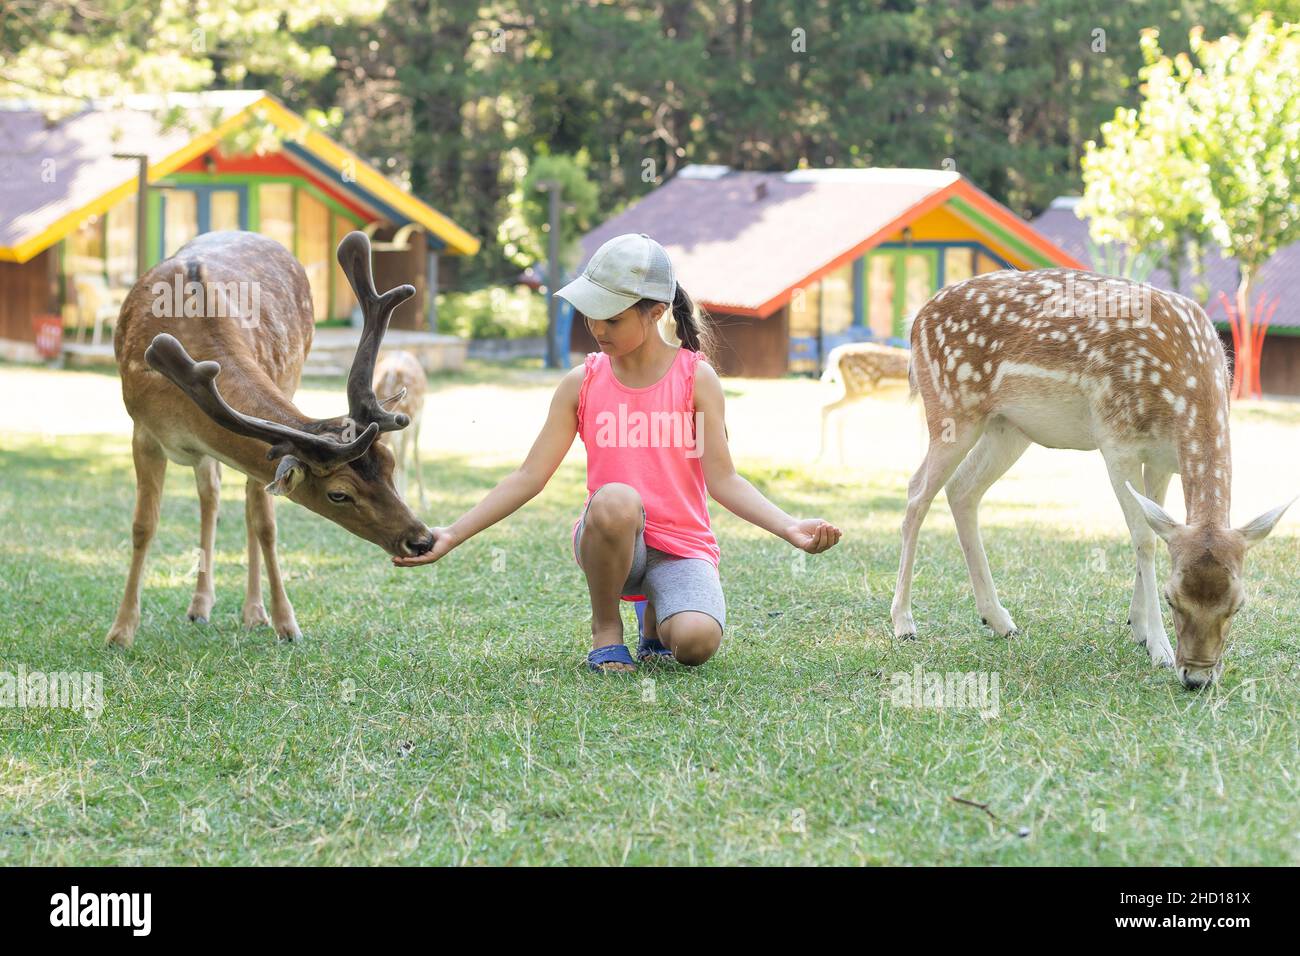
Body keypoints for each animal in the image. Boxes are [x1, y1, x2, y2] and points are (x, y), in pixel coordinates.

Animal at [892, 268, 1294, 689]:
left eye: (1239, 603)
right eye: (1172, 597)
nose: (1197, 677)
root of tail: (916, 319)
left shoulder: (1163, 459)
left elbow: (1154, 529)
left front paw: (1138, 628)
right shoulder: (1117, 442)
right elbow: (1144, 539)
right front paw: (1159, 648)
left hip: (1008, 429)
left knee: (962, 489)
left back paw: (1000, 620)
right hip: (951, 407)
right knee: (917, 491)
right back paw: (904, 623)